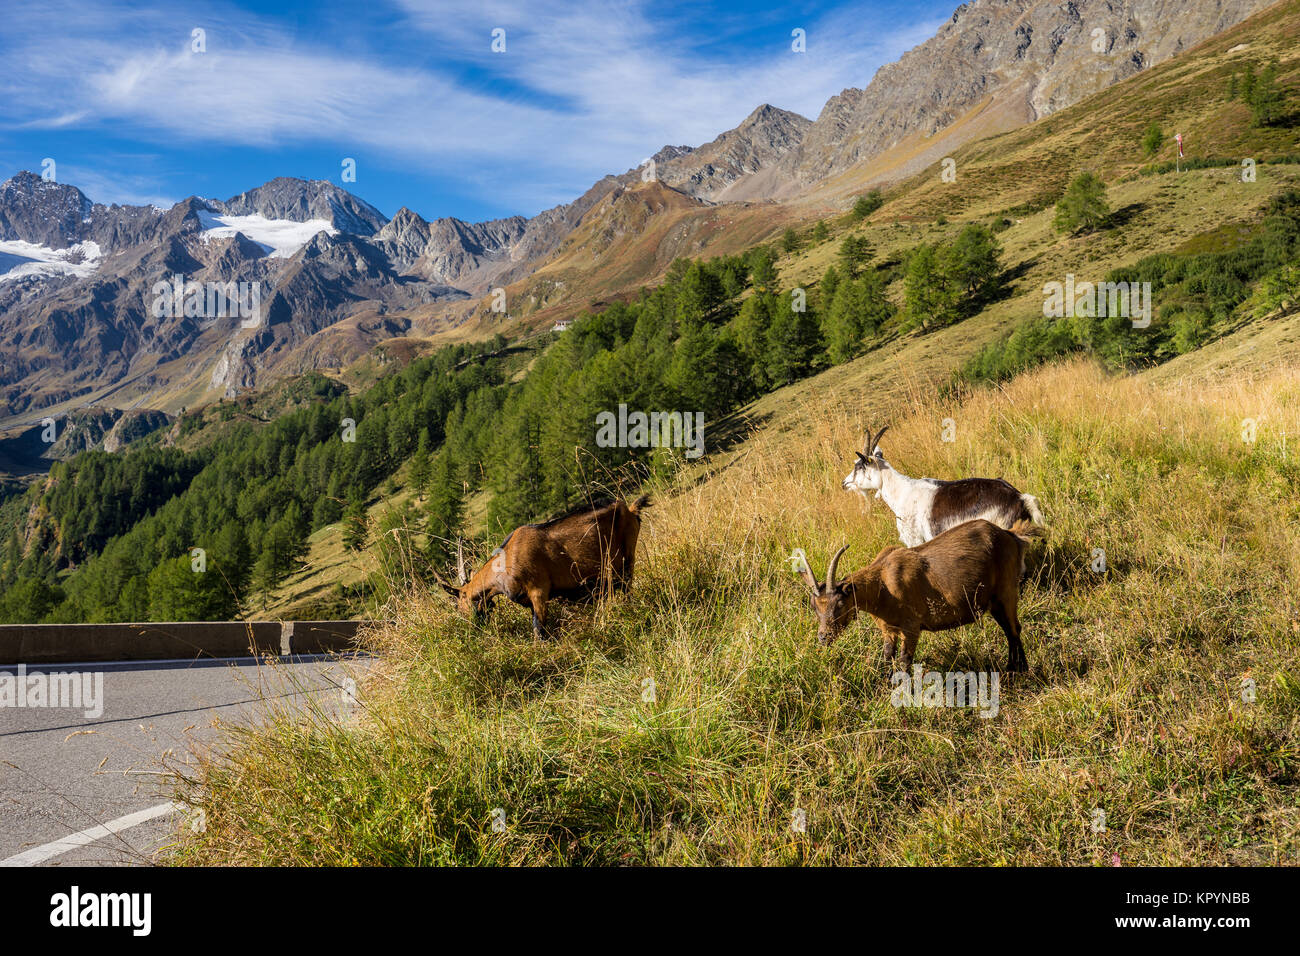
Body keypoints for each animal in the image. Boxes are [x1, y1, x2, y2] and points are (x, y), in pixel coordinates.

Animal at [433, 495, 650, 636]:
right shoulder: (528, 601)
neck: (505, 562)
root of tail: (630, 509)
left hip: (628, 557)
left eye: (457, 604)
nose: (470, 629)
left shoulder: (539, 591)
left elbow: (539, 631)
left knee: (628, 588)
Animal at [796, 518, 1042, 671]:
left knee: (1014, 629)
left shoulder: (911, 626)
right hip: (995, 601)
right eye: (814, 607)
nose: (823, 637)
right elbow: (887, 658)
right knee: (1010, 630)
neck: (883, 582)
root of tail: (1011, 536)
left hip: (1006, 592)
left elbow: (904, 661)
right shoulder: (889, 629)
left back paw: (1018, 670)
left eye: (839, 603)